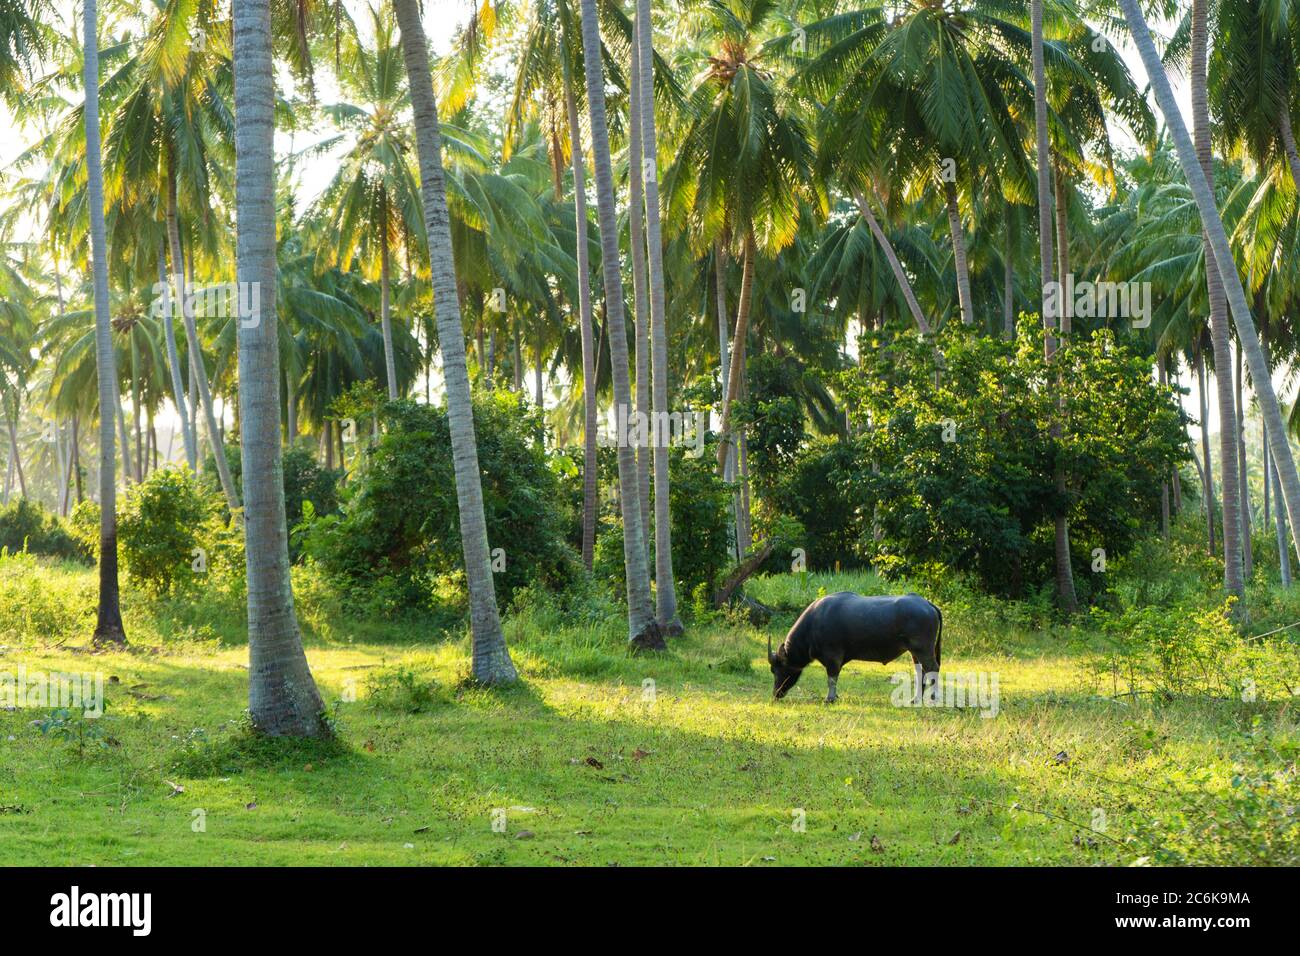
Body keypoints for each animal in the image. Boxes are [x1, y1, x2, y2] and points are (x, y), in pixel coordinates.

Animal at [768, 592, 942, 703]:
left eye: (776, 669)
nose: (776, 694)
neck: (814, 624)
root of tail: (927, 603)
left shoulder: (833, 657)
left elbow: (831, 679)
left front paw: (829, 698)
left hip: (923, 649)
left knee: (932, 668)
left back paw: (933, 698)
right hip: (915, 652)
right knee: (921, 671)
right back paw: (915, 699)